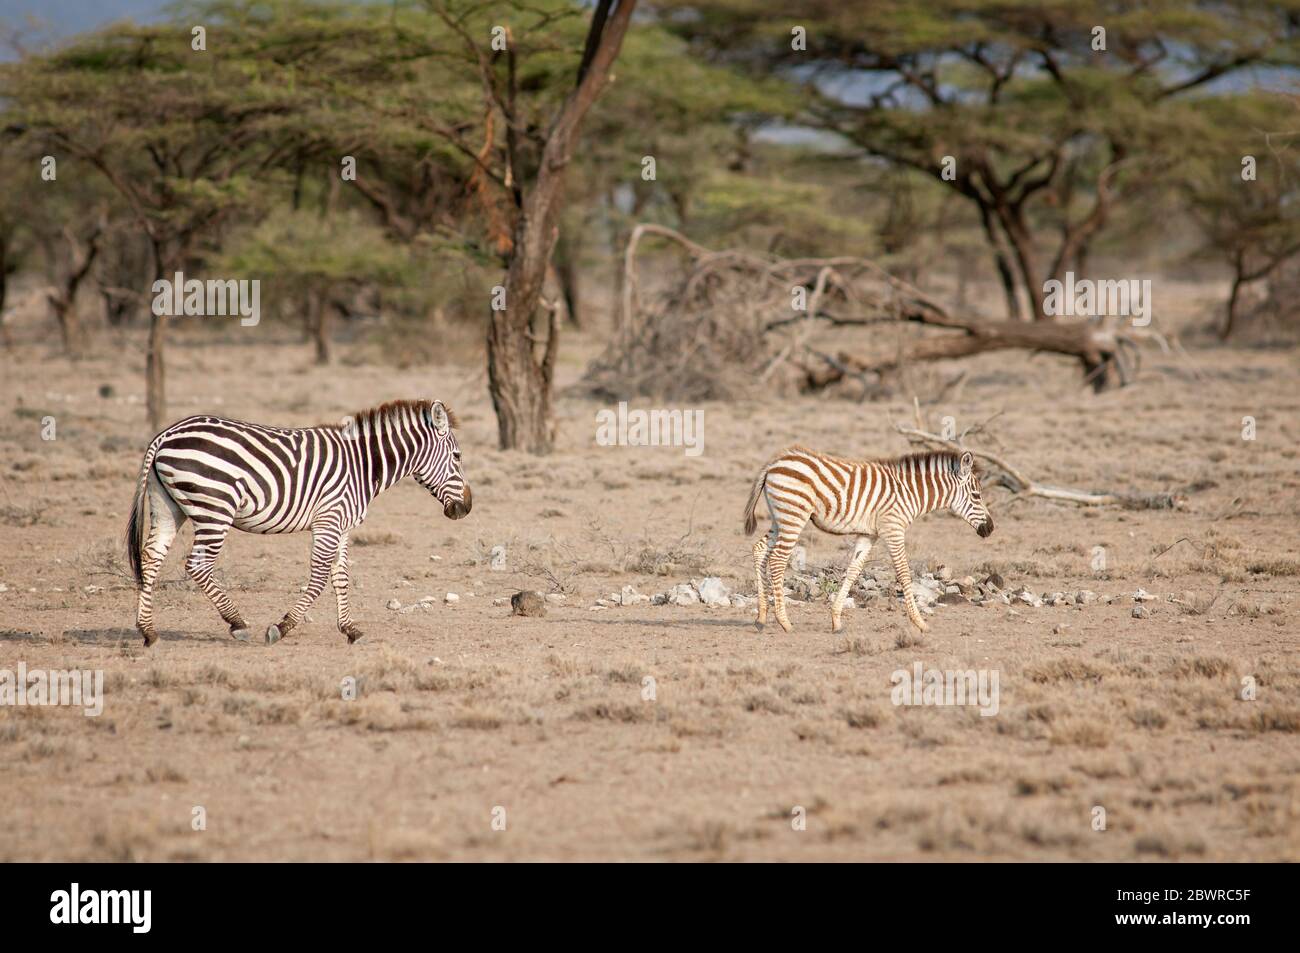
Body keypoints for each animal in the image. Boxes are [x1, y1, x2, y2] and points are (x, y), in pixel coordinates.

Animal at [125, 399, 471, 647]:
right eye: (457, 456)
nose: (466, 508)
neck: (363, 465)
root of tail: (166, 434)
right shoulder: (329, 520)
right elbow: (318, 579)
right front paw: (281, 627)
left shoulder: (342, 525)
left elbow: (341, 578)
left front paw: (350, 629)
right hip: (215, 507)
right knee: (197, 564)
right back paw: (237, 624)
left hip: (168, 506)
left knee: (151, 557)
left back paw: (148, 631)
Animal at [742, 447, 993, 635]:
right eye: (977, 496)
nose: (990, 528)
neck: (910, 493)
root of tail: (775, 462)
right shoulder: (893, 529)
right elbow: (904, 573)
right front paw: (920, 623)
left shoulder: (868, 534)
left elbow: (854, 570)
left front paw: (836, 621)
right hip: (794, 515)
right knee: (777, 560)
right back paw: (784, 622)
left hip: (781, 517)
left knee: (759, 549)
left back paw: (761, 618)